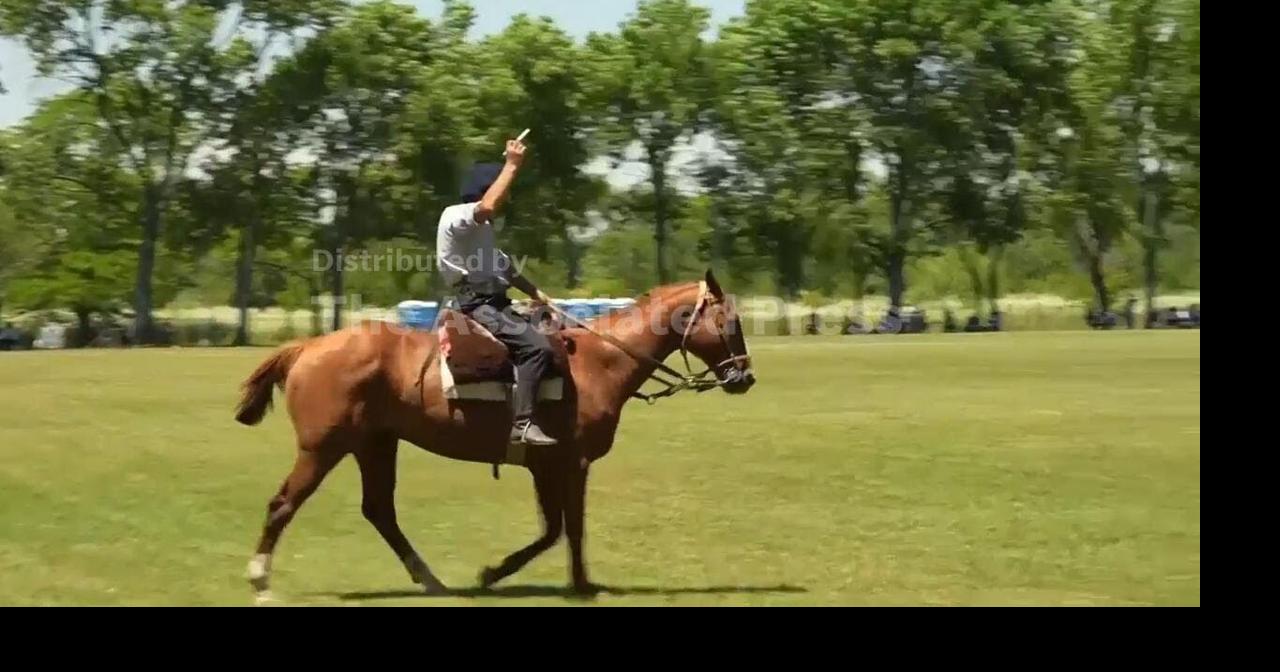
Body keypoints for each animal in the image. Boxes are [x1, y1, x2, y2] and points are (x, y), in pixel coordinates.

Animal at [233, 269, 756, 599]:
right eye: (728, 322)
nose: (745, 378)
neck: (598, 363)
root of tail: (306, 347)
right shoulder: (570, 463)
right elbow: (568, 528)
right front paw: (565, 582)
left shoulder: (548, 466)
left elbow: (554, 529)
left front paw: (510, 574)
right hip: (323, 448)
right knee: (283, 505)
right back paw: (260, 581)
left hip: (375, 444)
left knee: (379, 511)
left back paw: (432, 581)